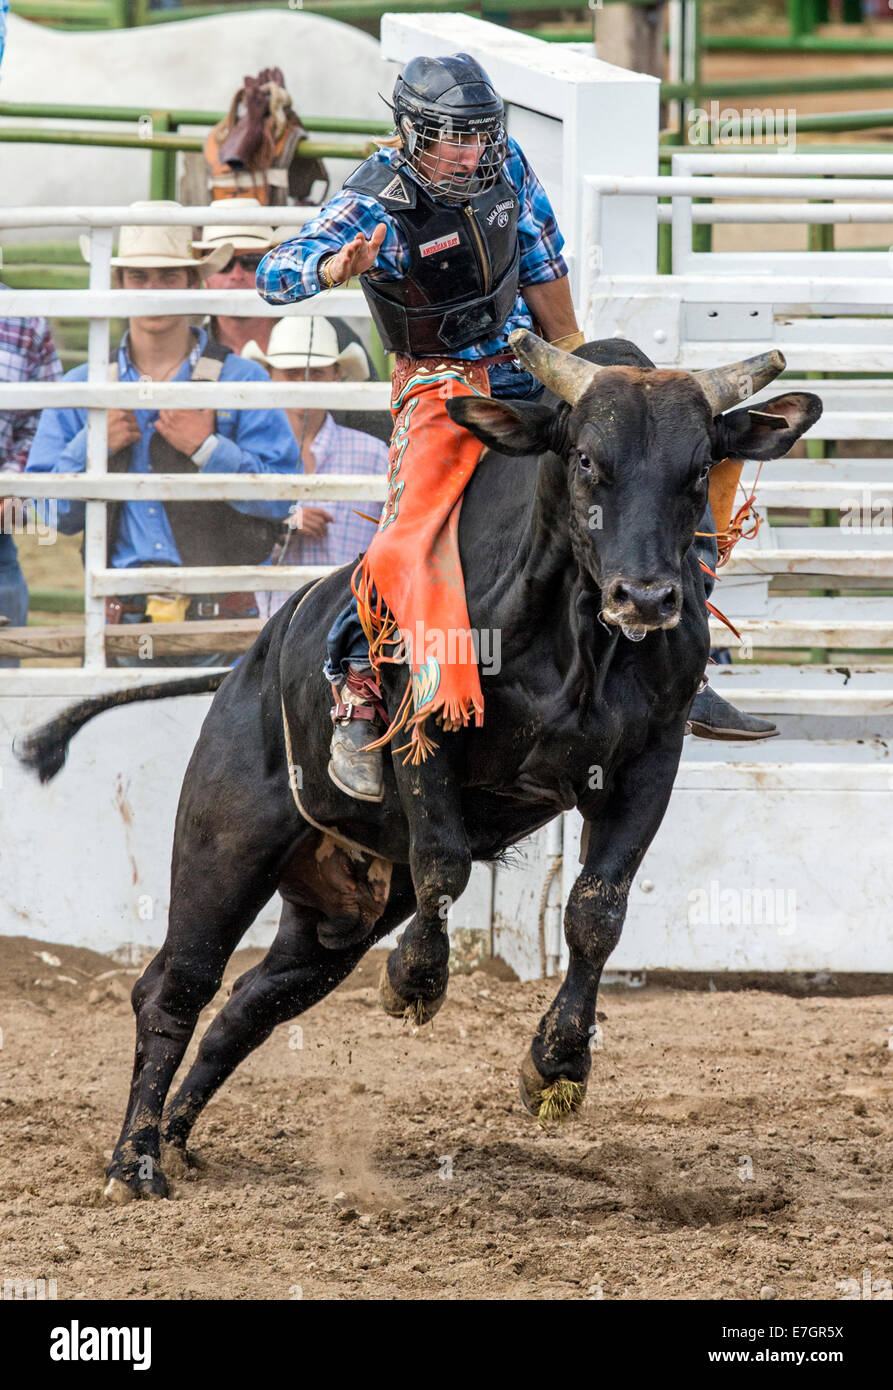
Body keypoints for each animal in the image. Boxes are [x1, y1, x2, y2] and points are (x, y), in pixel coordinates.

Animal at [17, 333, 822, 1201]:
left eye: (698, 467)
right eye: (584, 458)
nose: (644, 598)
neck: (576, 638)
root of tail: (245, 664)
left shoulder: (649, 762)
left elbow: (595, 911)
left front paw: (557, 1064)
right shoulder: (426, 727)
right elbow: (444, 859)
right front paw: (413, 979)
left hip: (337, 919)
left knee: (249, 1004)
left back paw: (175, 1134)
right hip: (224, 843)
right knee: (176, 986)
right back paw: (134, 1160)